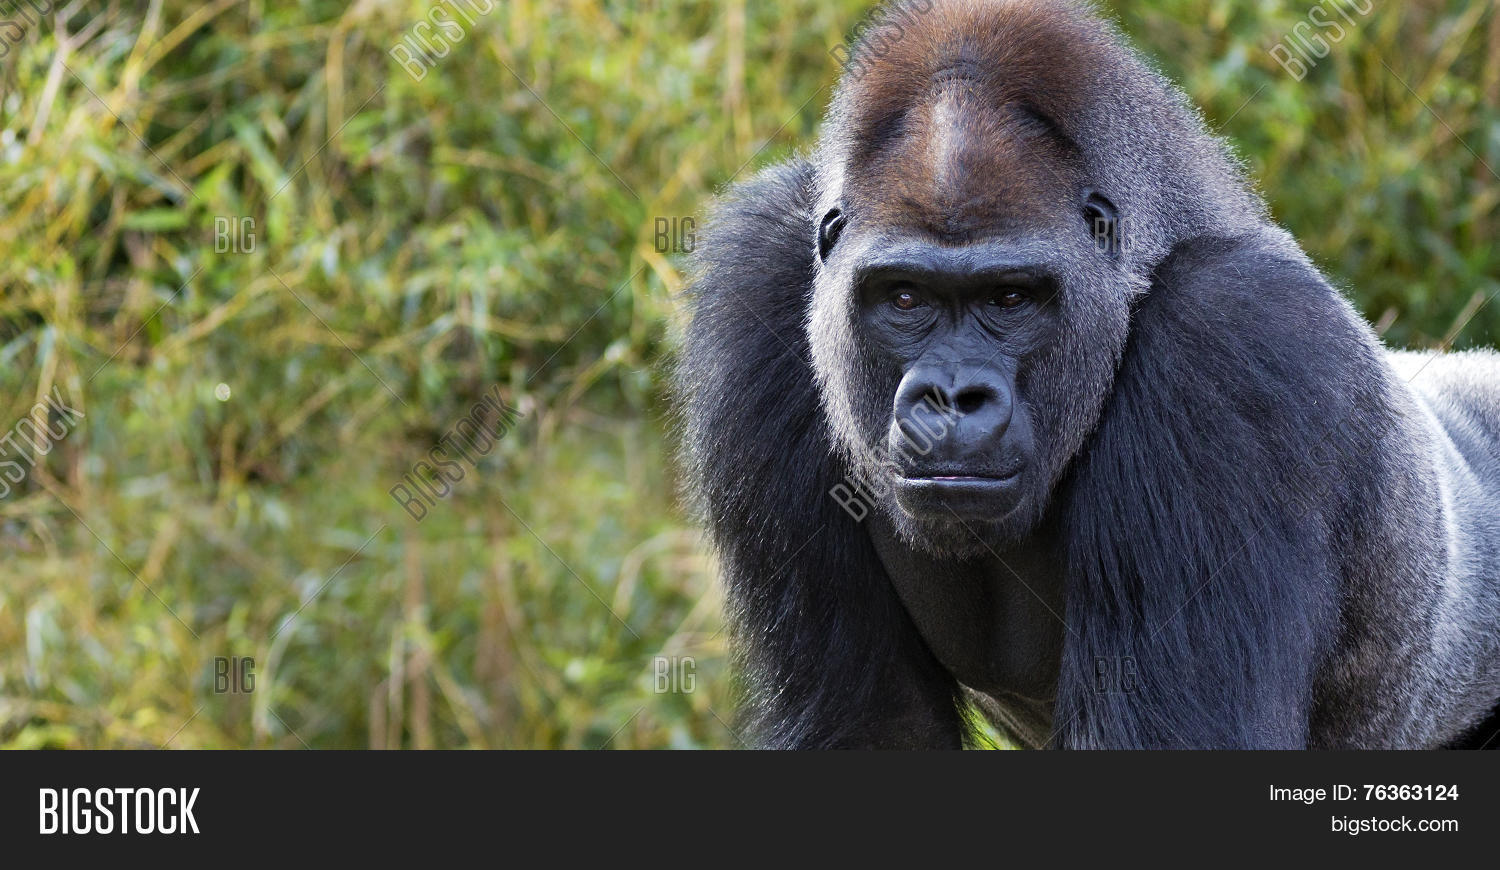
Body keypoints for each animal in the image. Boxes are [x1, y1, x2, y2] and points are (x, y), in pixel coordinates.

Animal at [676, 0, 1500, 748]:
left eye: (1011, 298)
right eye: (904, 298)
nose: (953, 398)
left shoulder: (1235, 333)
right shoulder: (759, 276)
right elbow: (871, 722)